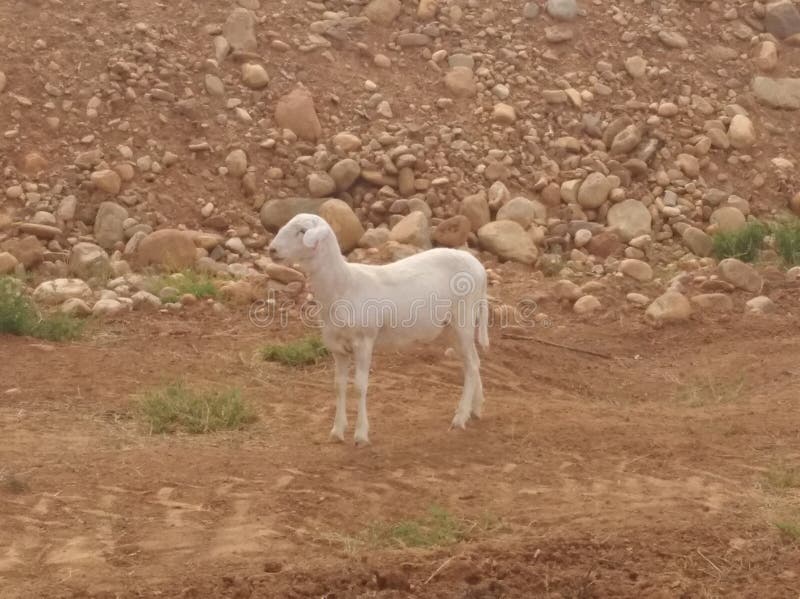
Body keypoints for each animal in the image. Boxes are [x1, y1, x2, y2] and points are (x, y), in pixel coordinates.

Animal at [267, 213, 490, 446]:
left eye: (302, 231)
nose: (272, 250)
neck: (344, 285)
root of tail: (479, 268)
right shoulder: (337, 347)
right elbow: (338, 385)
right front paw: (337, 430)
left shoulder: (364, 341)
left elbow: (360, 386)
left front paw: (361, 435)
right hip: (449, 327)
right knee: (472, 363)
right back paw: (475, 409)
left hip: (464, 318)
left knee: (472, 364)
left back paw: (460, 417)